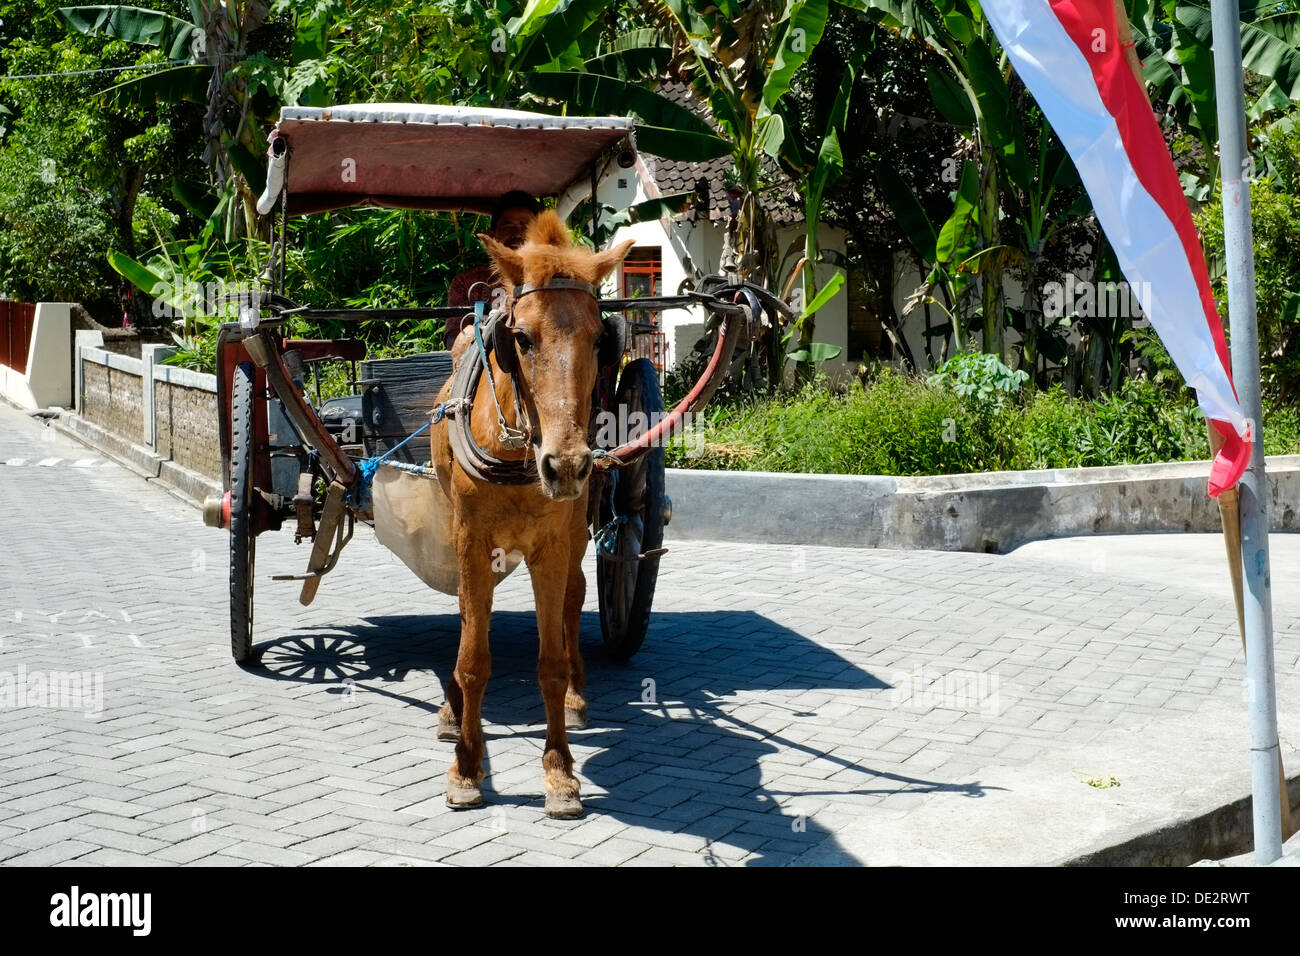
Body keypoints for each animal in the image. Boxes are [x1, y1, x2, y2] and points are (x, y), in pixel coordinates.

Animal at [428, 210, 634, 818]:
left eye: (599, 339)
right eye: (520, 338)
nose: (565, 466)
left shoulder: (553, 544)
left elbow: (551, 662)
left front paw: (560, 772)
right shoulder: (470, 540)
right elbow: (473, 655)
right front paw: (466, 767)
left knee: (575, 597)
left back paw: (577, 698)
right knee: (468, 616)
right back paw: (452, 710)